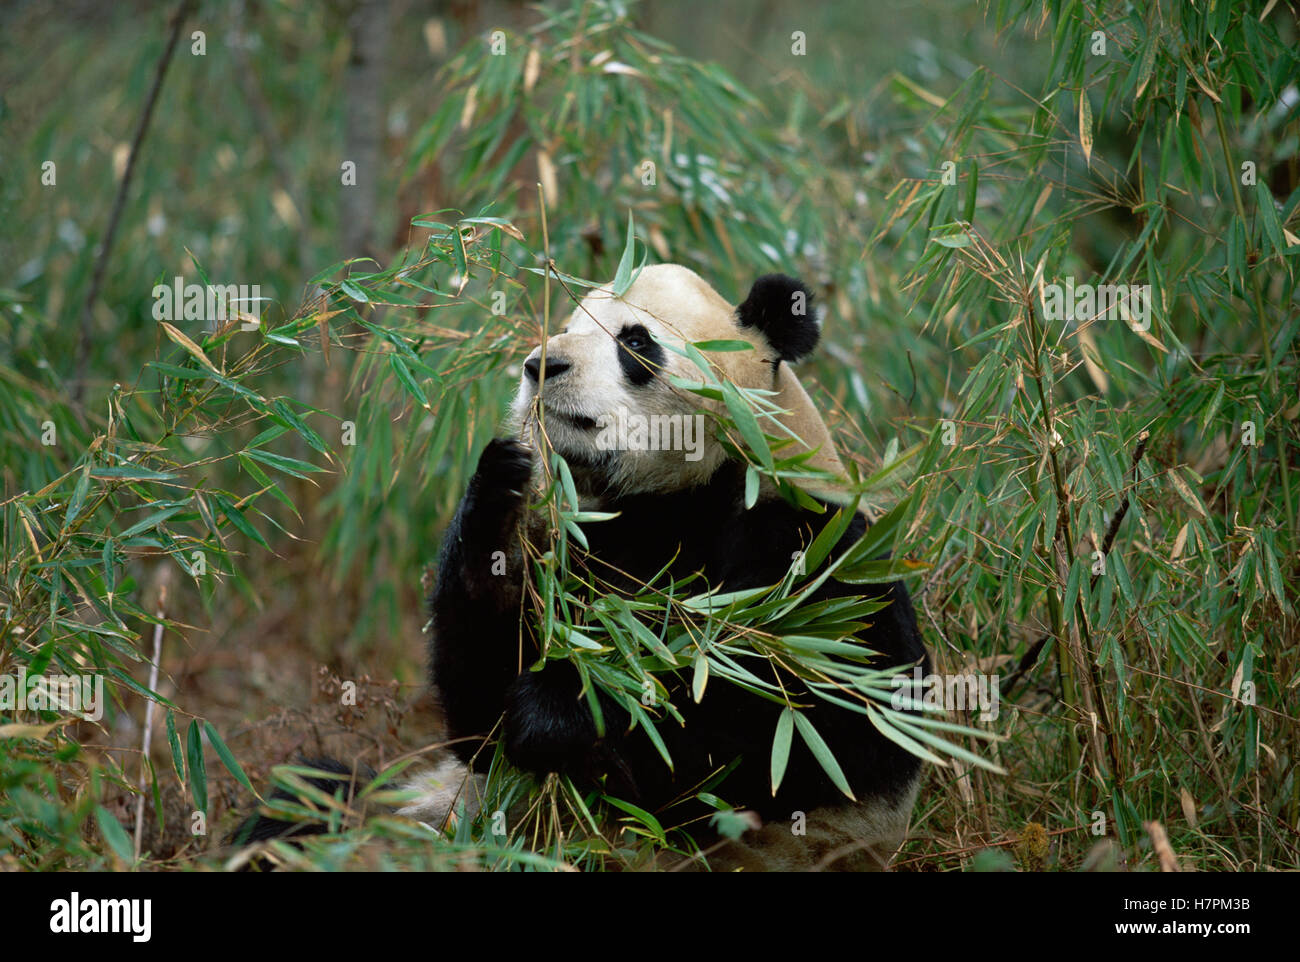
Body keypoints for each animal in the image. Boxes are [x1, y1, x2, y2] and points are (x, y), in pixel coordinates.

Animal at [395, 264, 930, 871]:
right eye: (568, 327)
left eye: (634, 341)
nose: (541, 365)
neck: (675, 497)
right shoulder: (586, 543)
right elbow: (479, 719)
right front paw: (501, 486)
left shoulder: (813, 554)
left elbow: (800, 732)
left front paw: (560, 709)